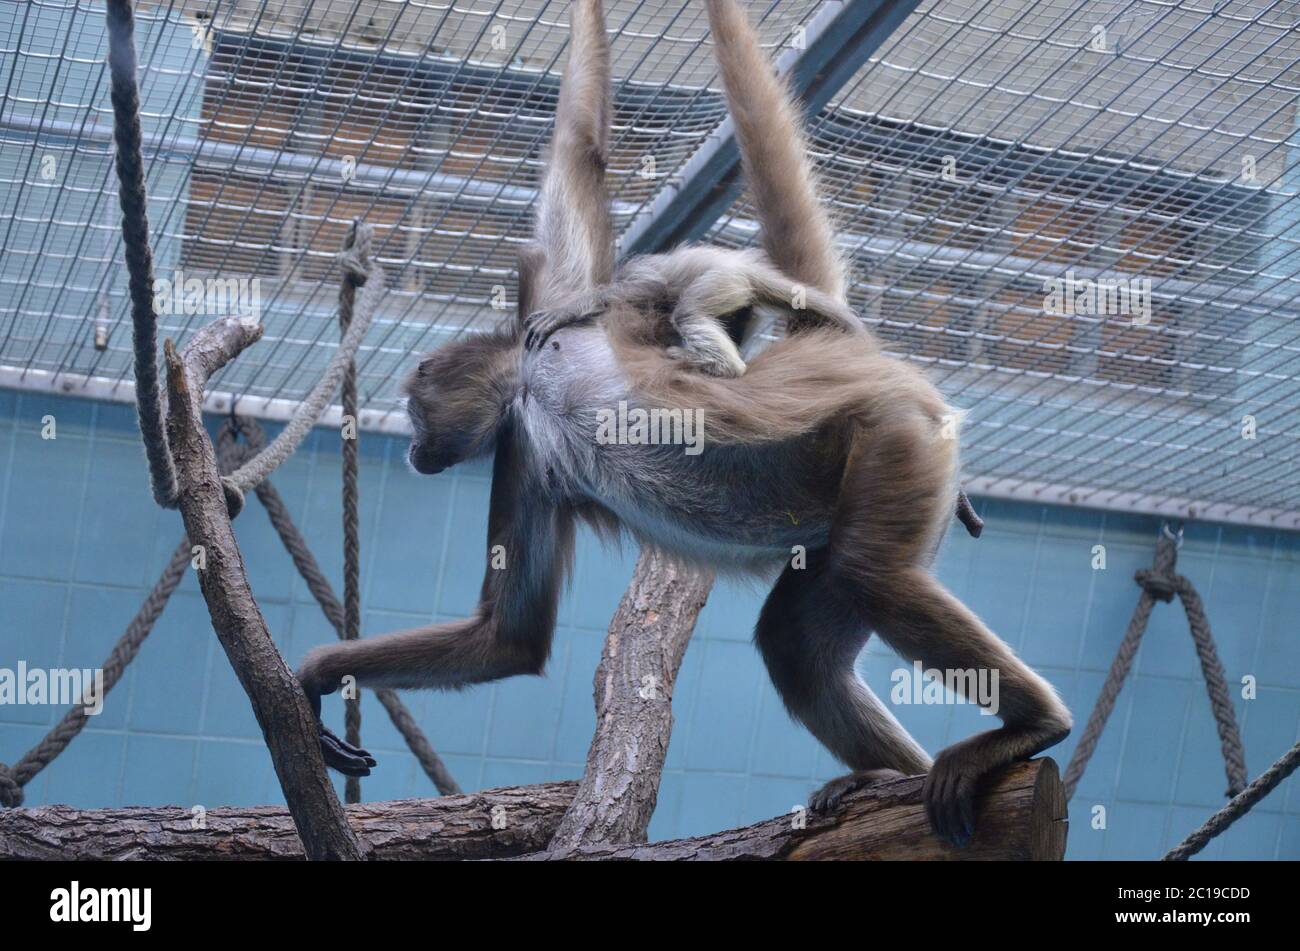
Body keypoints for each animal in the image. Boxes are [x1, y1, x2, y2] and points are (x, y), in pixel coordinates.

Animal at [300, 0, 1070, 847]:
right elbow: (509, 637)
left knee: (877, 576)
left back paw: (1033, 726)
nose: (412, 448)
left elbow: (580, 145)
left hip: (896, 435)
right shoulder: (526, 447)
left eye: (412, 408)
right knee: (799, 635)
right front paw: (317, 676)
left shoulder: (552, 319)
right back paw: (885, 779)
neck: (536, 389)